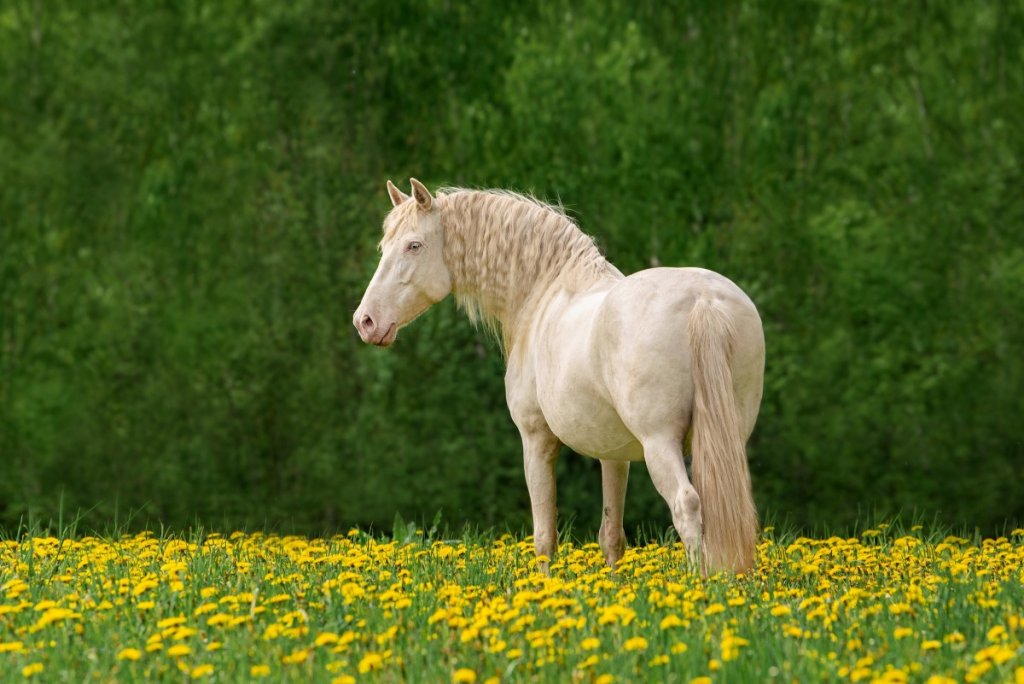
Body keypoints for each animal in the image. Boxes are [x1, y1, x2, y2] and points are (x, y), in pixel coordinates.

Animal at [353, 178, 765, 574]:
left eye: (414, 245)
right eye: (384, 246)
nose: (365, 321)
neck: (544, 291)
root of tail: (702, 301)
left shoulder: (536, 440)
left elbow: (544, 536)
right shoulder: (614, 455)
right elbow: (611, 535)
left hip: (659, 443)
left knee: (687, 505)